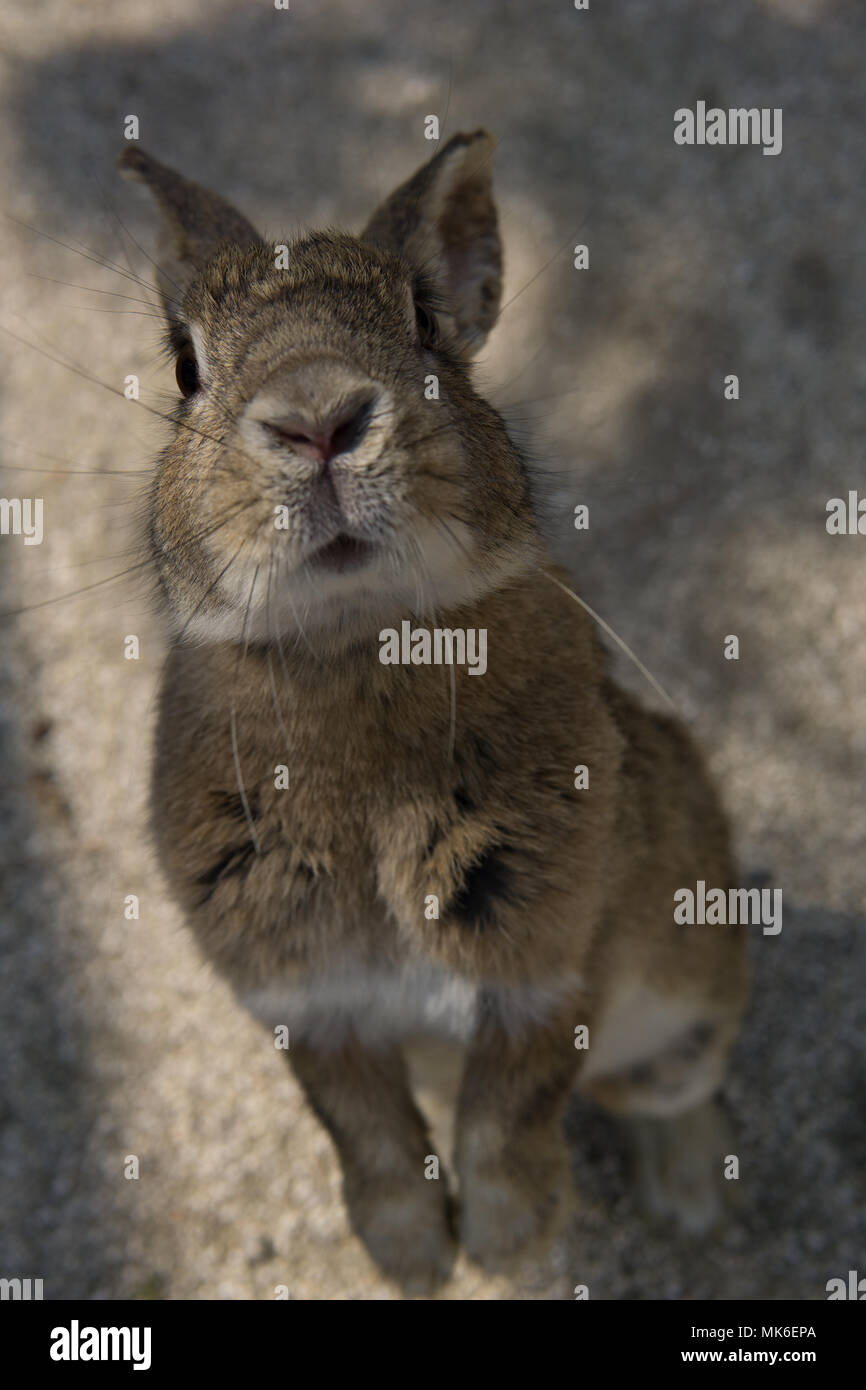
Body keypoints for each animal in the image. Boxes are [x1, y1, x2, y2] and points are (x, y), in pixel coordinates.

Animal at [118, 131, 748, 1296]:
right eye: (185, 367)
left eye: (425, 325)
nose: (317, 419)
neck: (359, 641)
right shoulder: (305, 999)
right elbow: (360, 1127)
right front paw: (412, 1255)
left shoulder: (551, 955)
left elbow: (510, 1109)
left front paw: (507, 1243)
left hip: (686, 1003)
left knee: (667, 1089)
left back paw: (687, 1198)